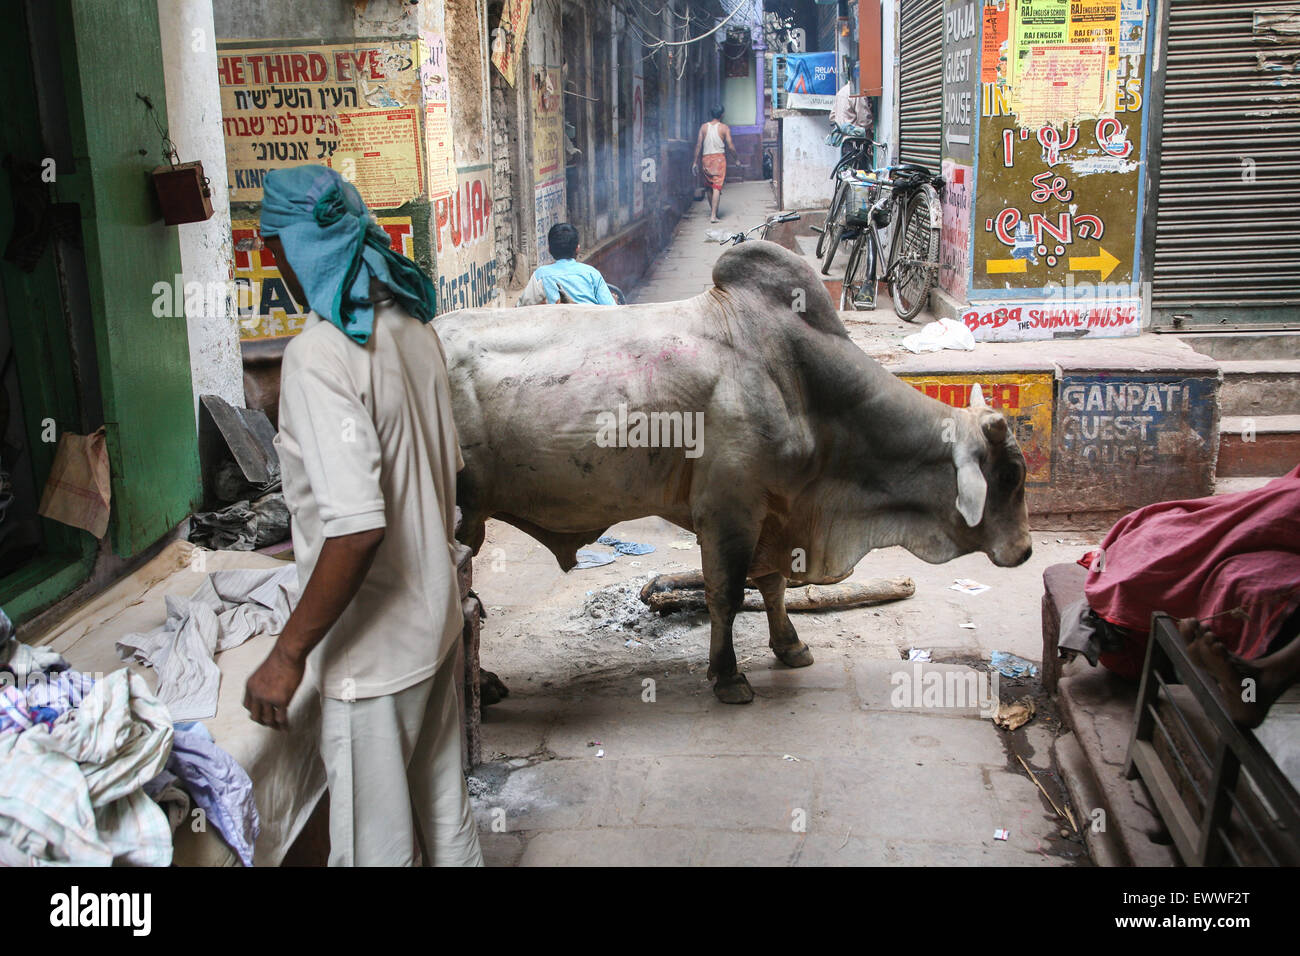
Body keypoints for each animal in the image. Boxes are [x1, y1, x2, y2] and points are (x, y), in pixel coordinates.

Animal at [435, 240, 1032, 704]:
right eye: (1007, 477)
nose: (1026, 551)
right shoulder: (729, 511)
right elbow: (727, 593)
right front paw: (727, 677)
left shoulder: (773, 511)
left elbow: (772, 586)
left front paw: (790, 646)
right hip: (459, 518)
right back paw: (483, 685)